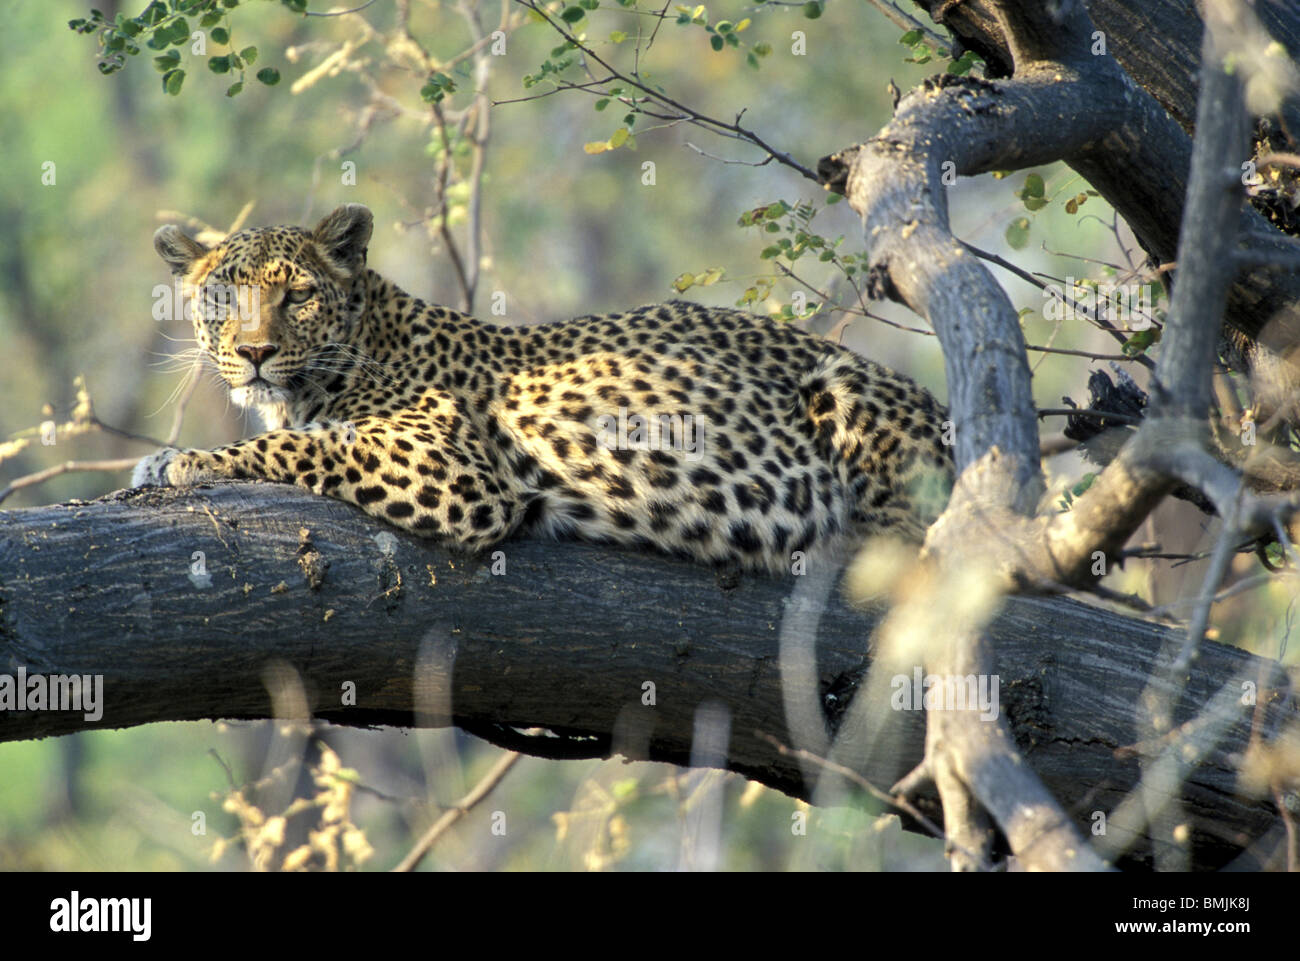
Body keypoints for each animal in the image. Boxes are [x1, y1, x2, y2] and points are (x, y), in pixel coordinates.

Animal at [133, 203, 954, 574]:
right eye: (223, 297)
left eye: (298, 294)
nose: (256, 352)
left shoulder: (452, 468)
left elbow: (307, 445)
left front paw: (187, 460)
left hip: (846, 387)